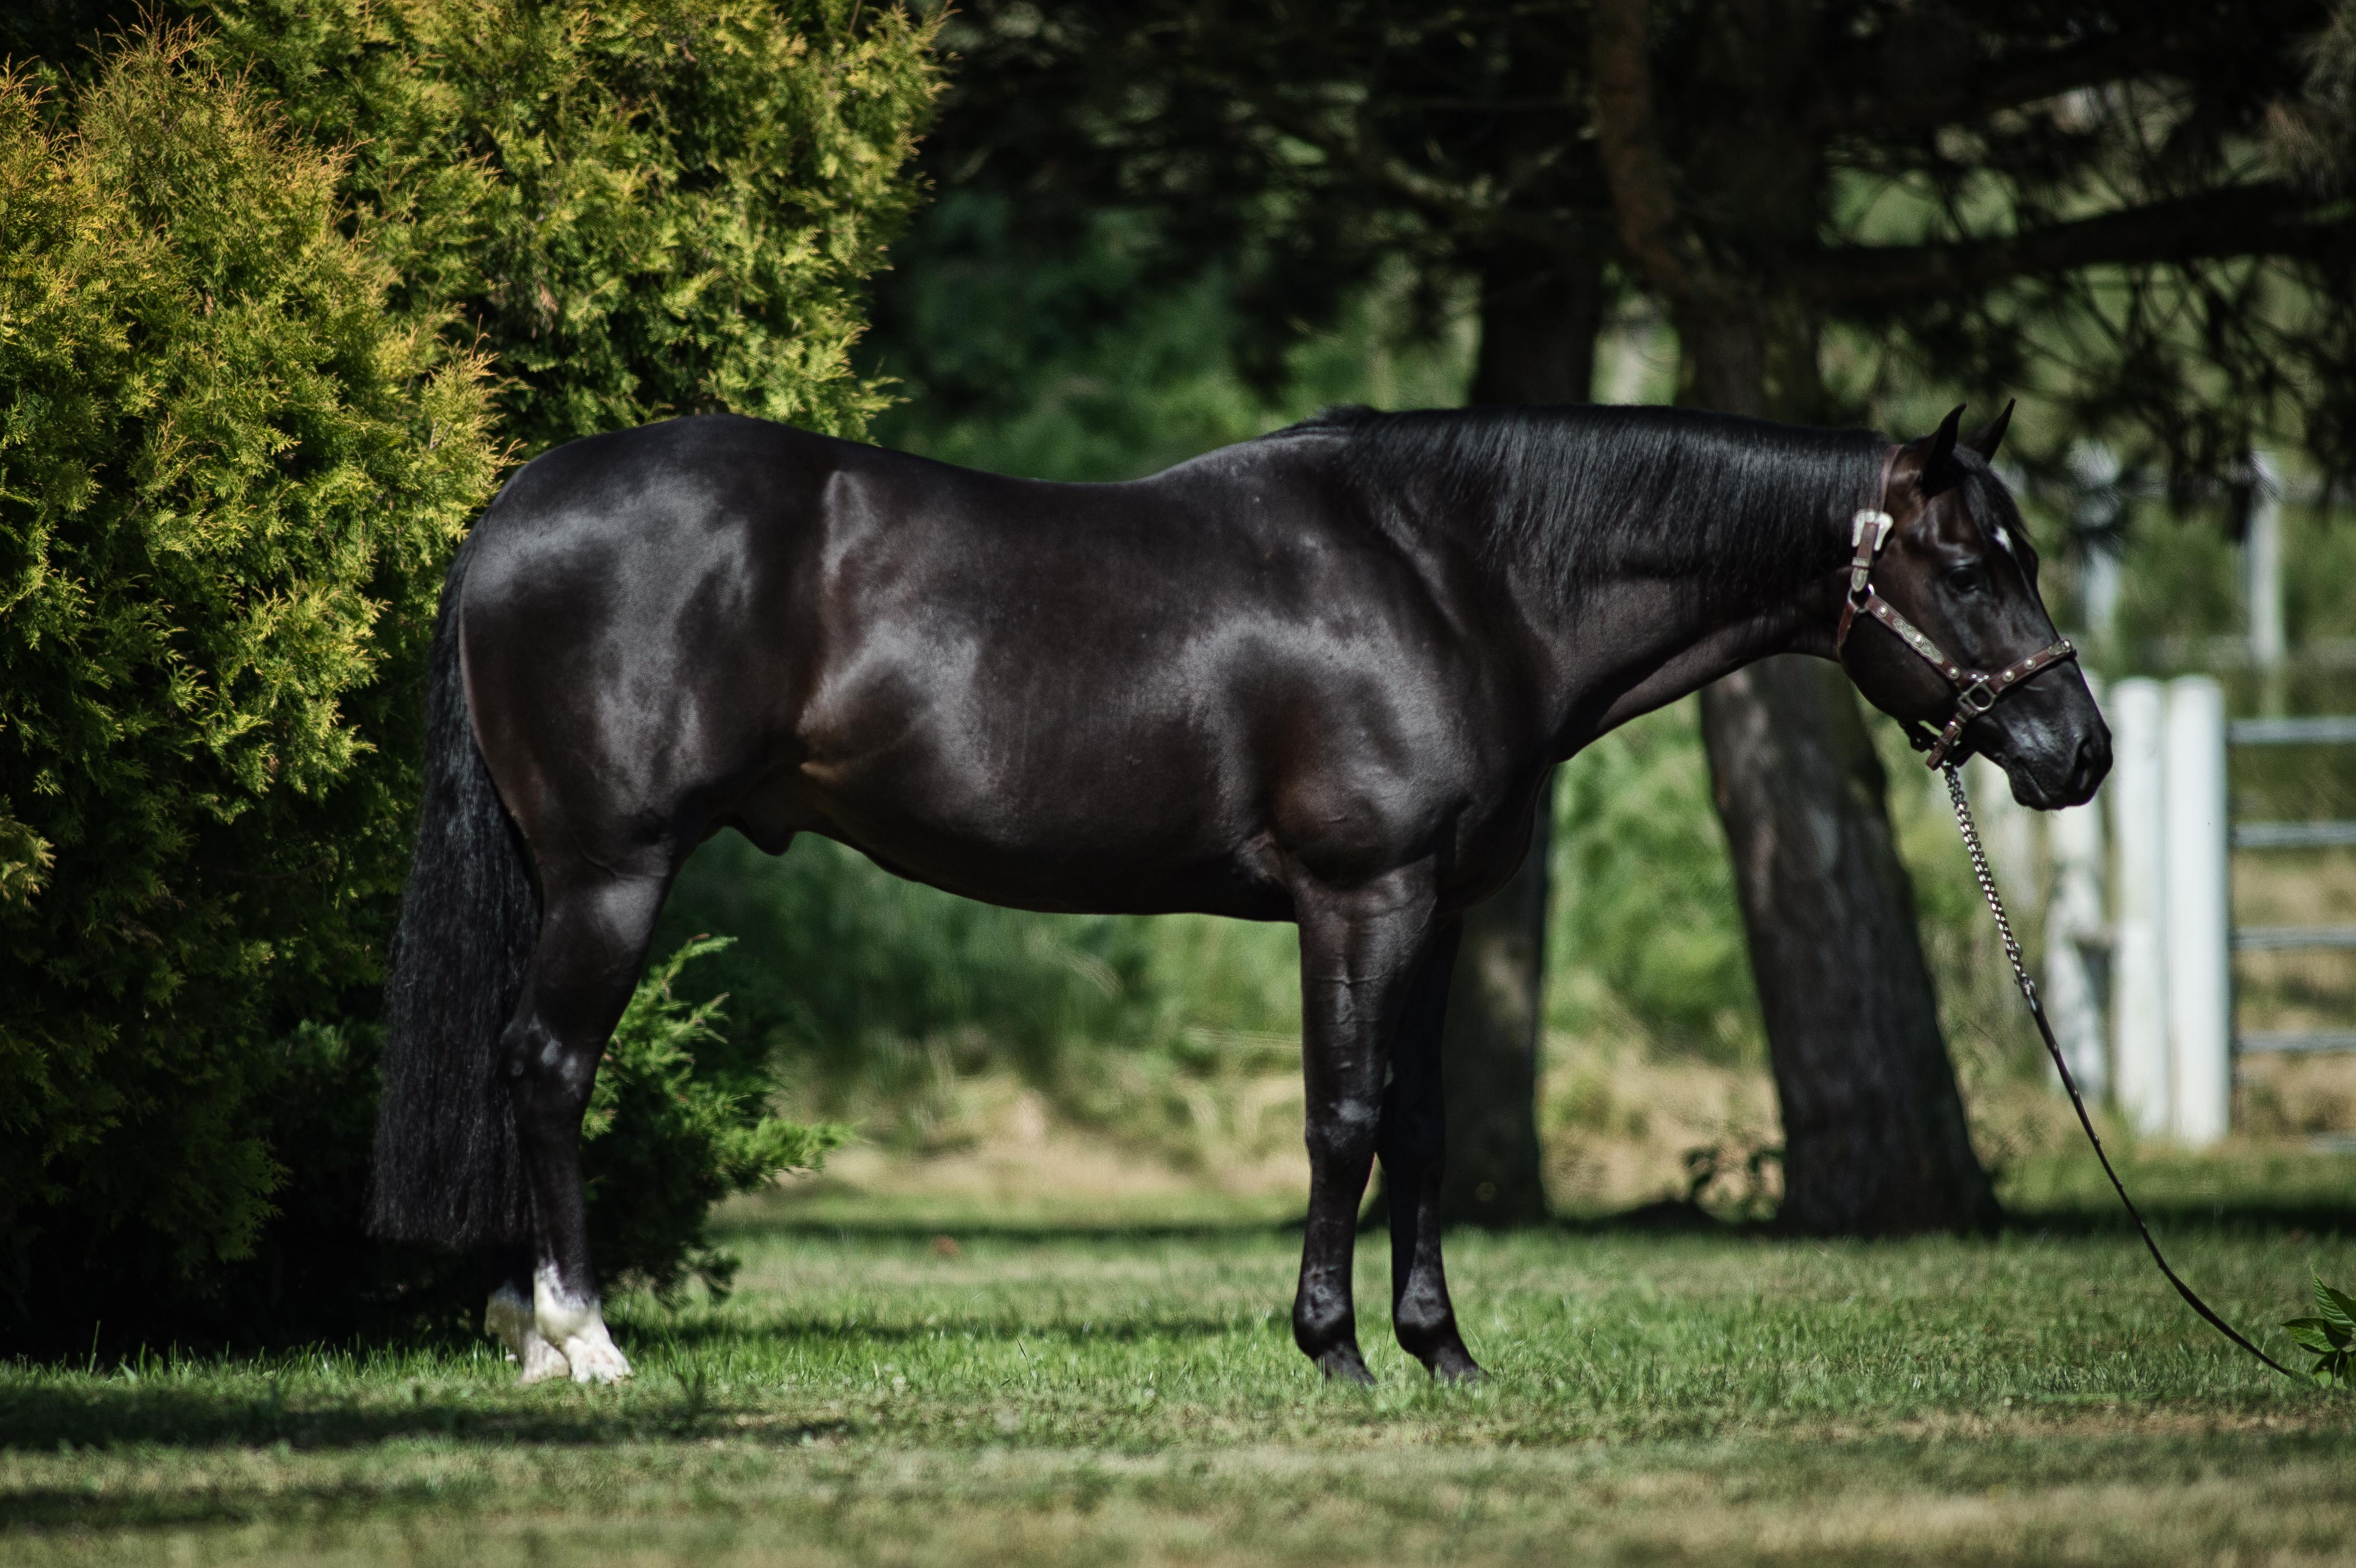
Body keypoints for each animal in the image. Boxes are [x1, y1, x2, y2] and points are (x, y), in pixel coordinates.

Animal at [369, 398, 2109, 1385]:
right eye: (1970, 563)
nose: (2074, 748)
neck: (1451, 575)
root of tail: (515, 508)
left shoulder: (1437, 914)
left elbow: (1421, 1129)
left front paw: (1442, 1354)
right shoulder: (1359, 899)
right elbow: (1342, 1118)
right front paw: (1332, 1352)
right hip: (614, 870)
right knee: (548, 1070)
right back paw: (579, 1339)